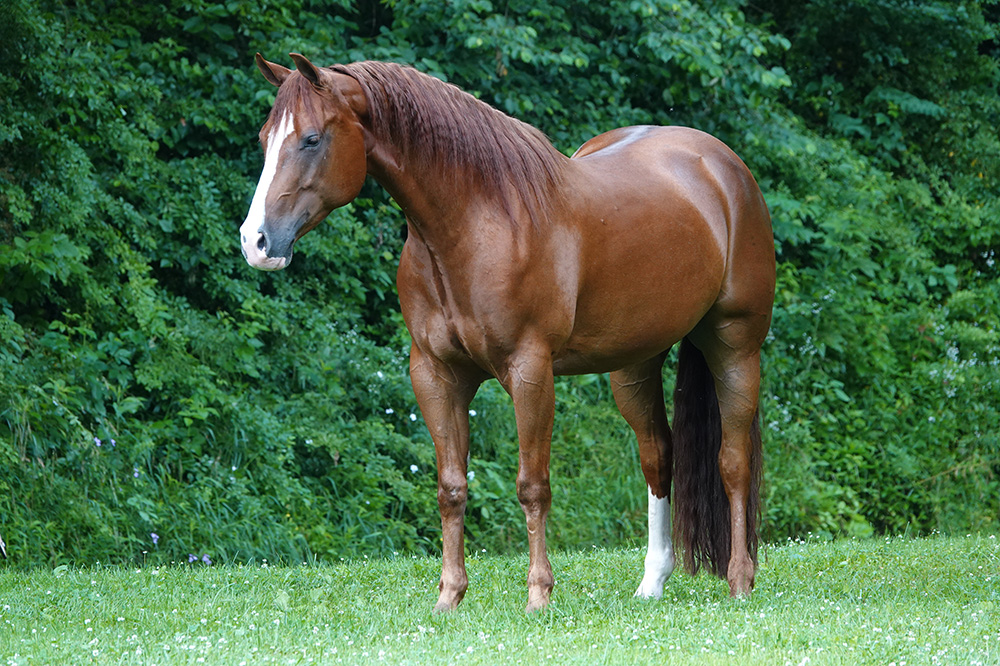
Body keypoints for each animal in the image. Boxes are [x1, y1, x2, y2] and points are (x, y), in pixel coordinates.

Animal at [240, 53, 775, 613]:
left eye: (311, 139)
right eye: (265, 138)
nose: (256, 242)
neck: (474, 226)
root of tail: (721, 164)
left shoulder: (529, 371)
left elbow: (532, 485)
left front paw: (538, 595)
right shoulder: (436, 375)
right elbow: (451, 488)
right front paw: (449, 596)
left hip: (735, 345)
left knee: (733, 461)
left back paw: (740, 581)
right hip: (634, 362)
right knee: (658, 455)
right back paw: (652, 582)